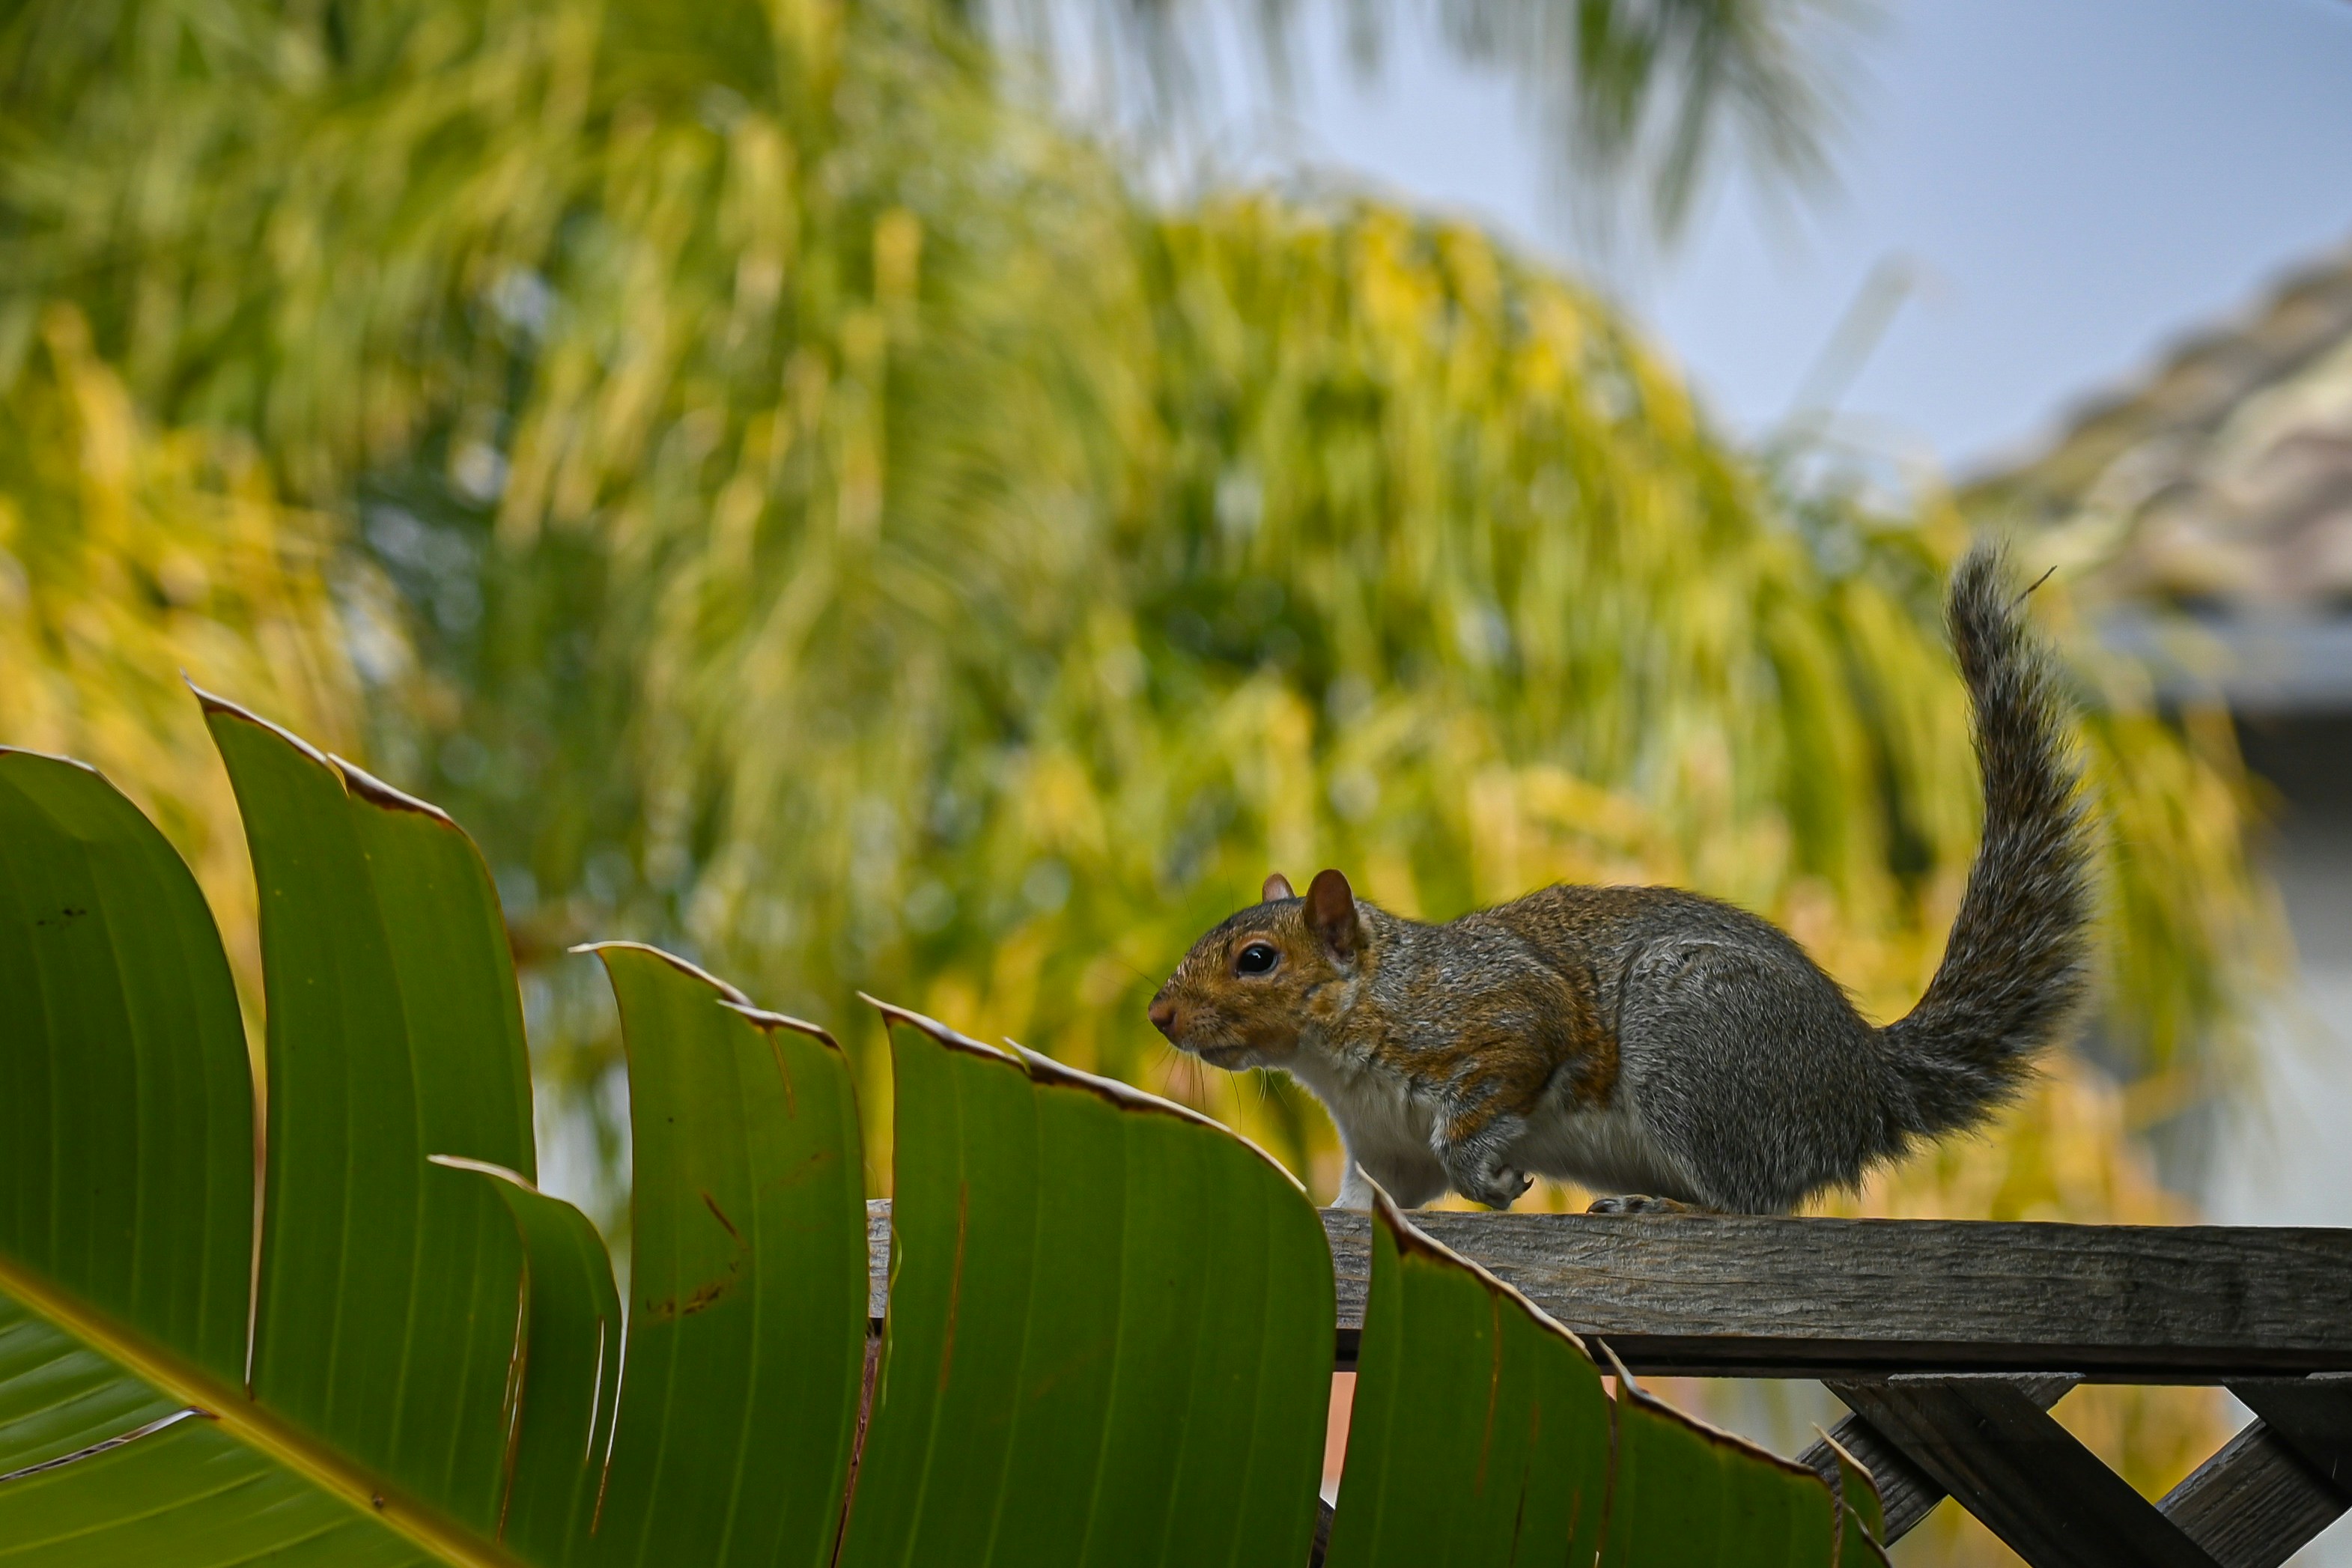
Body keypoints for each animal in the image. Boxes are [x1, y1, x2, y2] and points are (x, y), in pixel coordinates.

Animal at [1146, 544, 2093, 1215]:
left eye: (1258, 959)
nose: (1160, 1015)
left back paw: (1669, 1208)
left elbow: (1502, 1078)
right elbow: (1373, 1201)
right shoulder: (1385, 1153)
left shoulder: (1496, 1015)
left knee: (1752, 1200)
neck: (1340, 1052)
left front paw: (1487, 1175)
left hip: (1695, 1042)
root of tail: (1862, 1080)